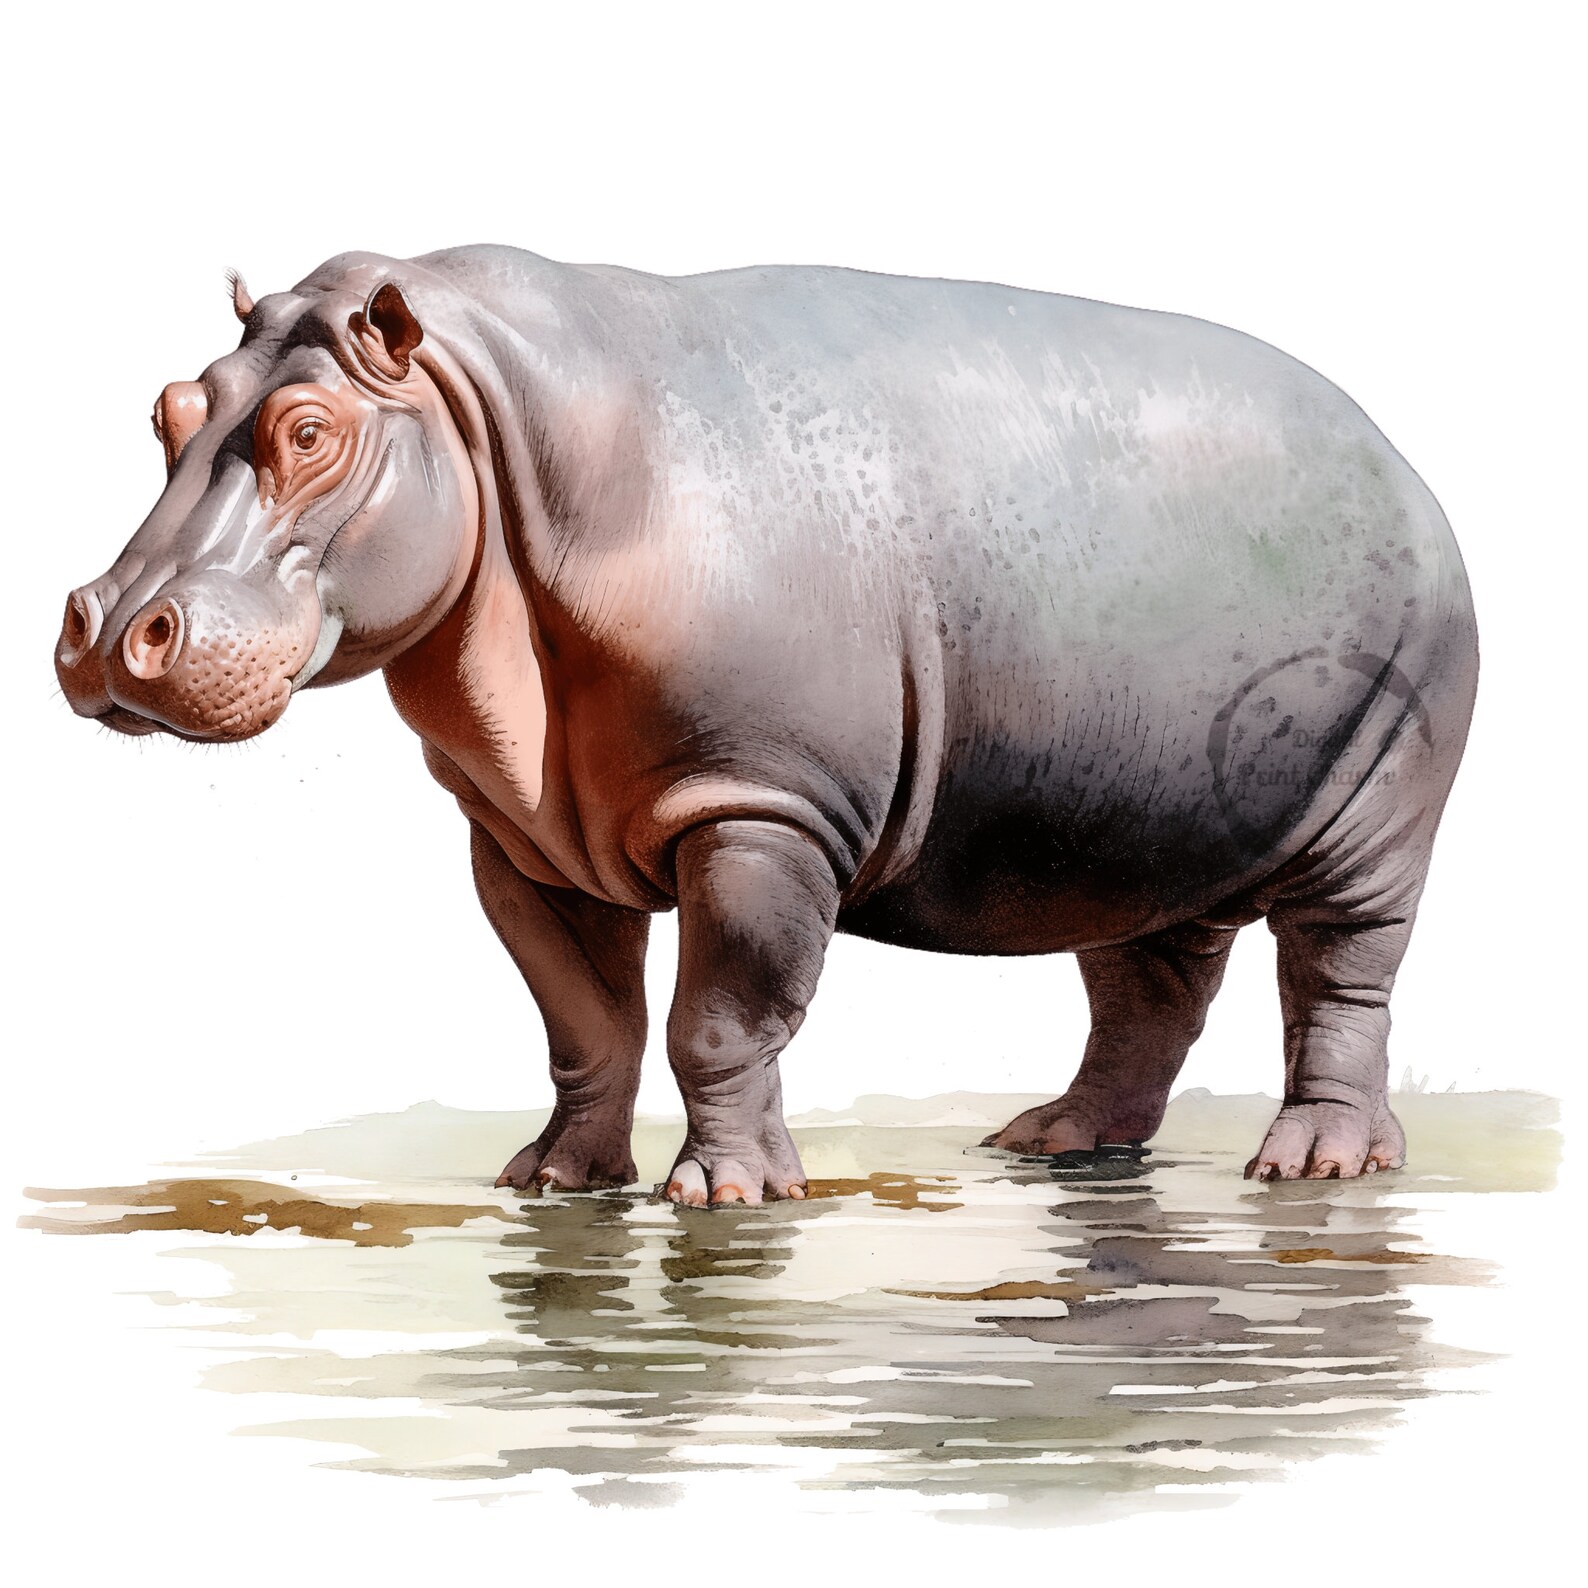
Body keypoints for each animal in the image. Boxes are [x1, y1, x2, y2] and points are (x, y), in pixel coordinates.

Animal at [56, 246, 1478, 1203]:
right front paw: (551, 1179)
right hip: (1132, 819)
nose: (104, 628)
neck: (485, 426)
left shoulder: (757, 807)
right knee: (1149, 977)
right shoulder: (522, 840)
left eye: (310, 430)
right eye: (168, 408)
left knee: (1341, 971)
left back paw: (1312, 1166)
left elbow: (721, 1017)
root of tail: (1401, 459)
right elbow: (583, 1022)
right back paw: (1055, 1142)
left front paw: (725, 1195)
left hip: (1373, 804)